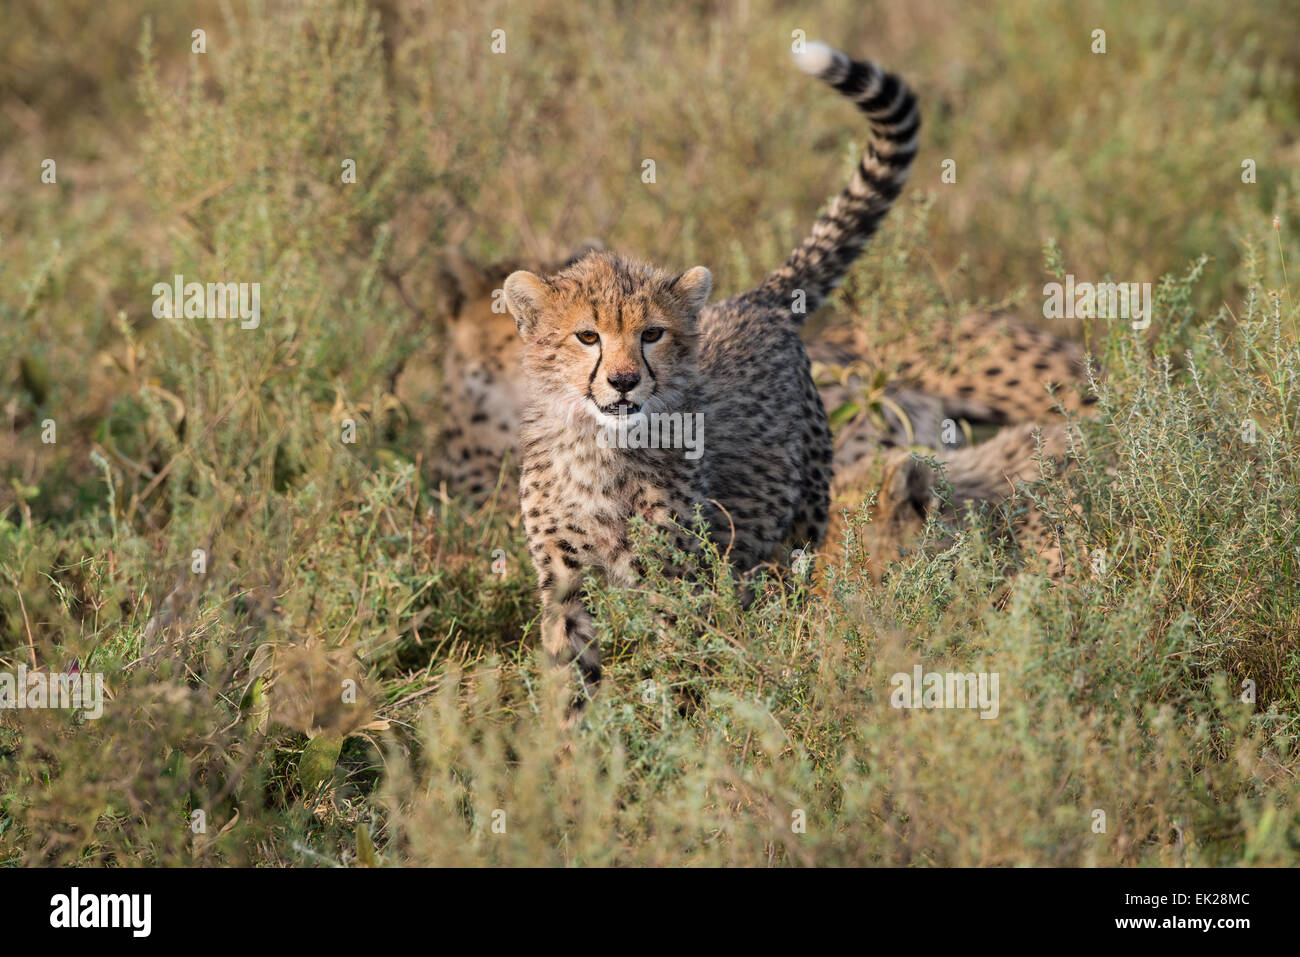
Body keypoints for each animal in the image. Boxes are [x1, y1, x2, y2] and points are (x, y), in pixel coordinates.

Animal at [500, 42, 920, 709]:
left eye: (652, 334)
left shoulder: (675, 575)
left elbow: (673, 667)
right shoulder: (565, 575)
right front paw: (570, 737)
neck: (602, 448)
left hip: (797, 526)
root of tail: (754, 300)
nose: (623, 382)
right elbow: (571, 673)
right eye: (588, 337)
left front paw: (671, 724)